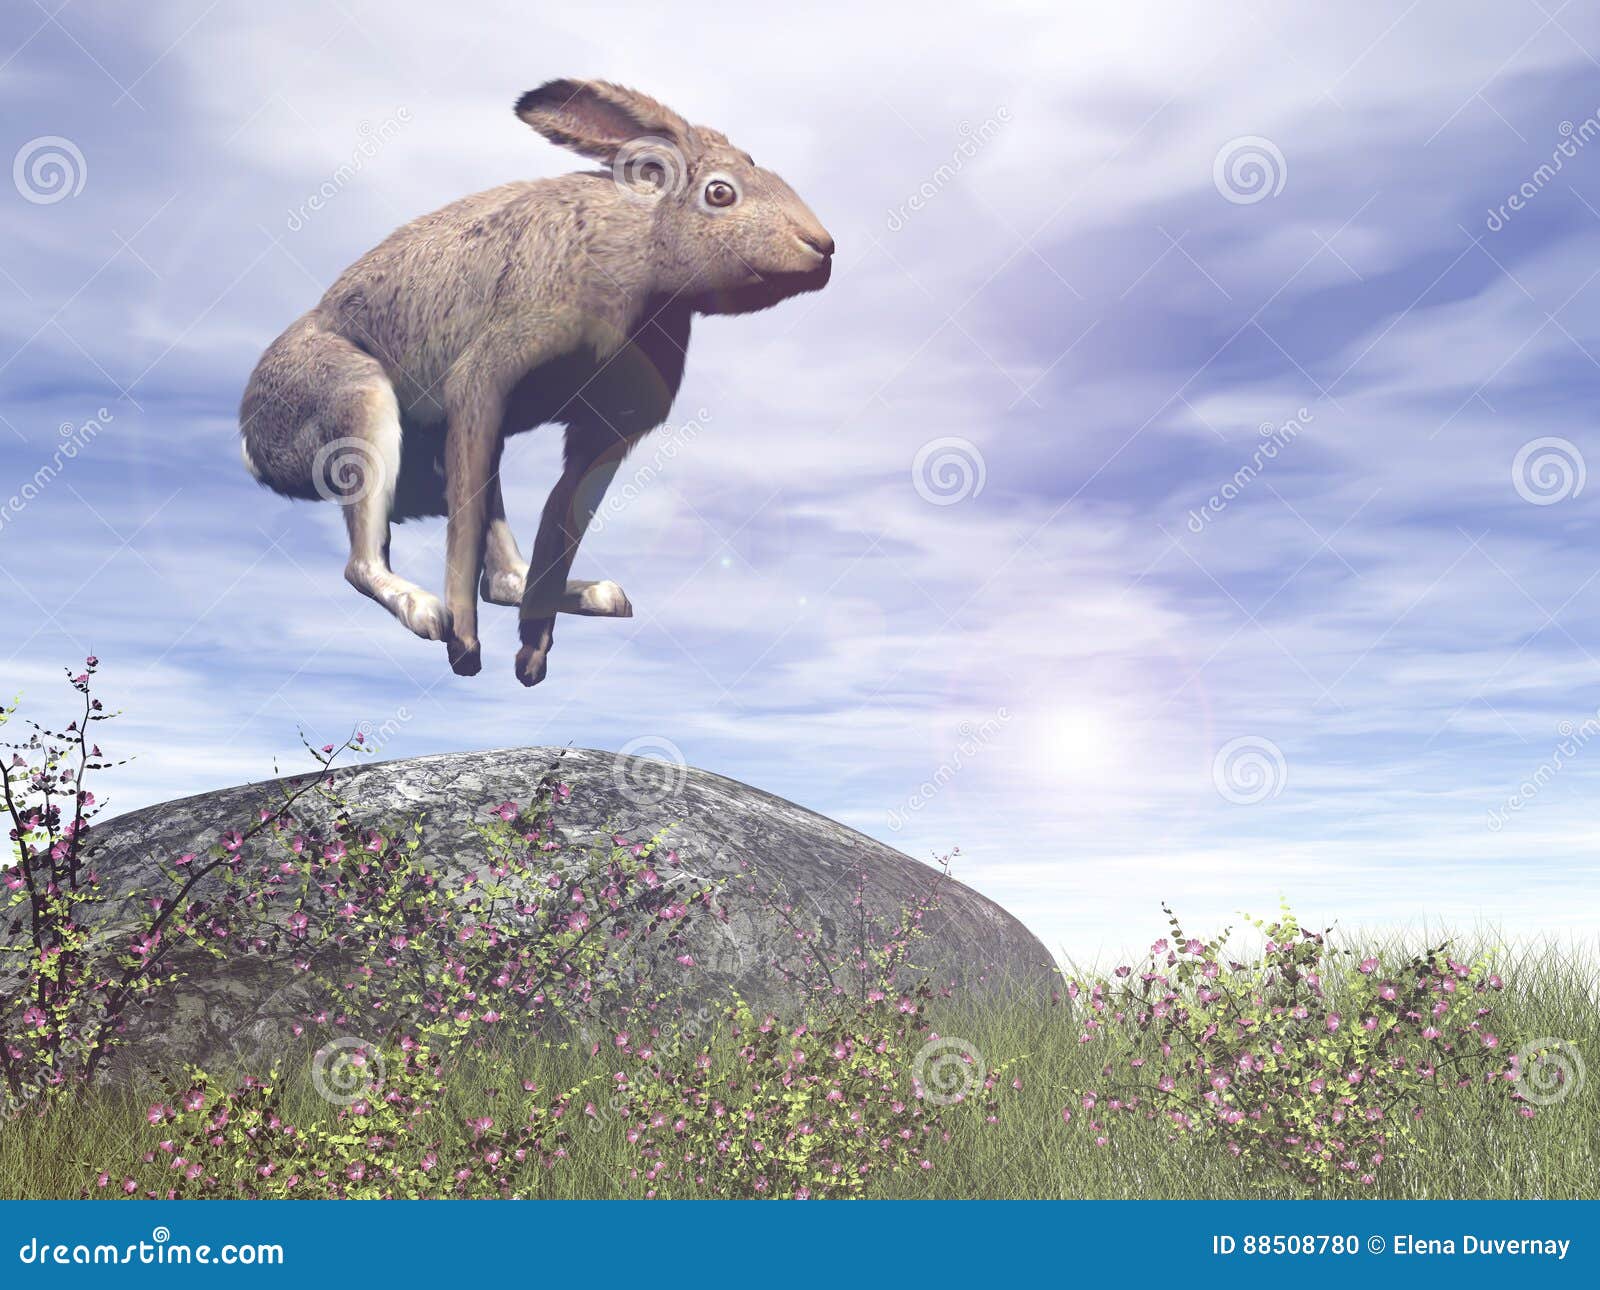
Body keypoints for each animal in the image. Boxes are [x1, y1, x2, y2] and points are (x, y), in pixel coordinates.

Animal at [239, 78, 834, 686]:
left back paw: (595, 595)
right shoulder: (485, 376)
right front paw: (465, 650)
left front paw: (531, 657)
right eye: (719, 193)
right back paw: (426, 610)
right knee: (364, 559)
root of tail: (254, 443)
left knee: (499, 572)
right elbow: (471, 533)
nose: (824, 246)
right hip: (360, 403)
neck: (642, 241)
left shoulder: (606, 430)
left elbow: (562, 519)